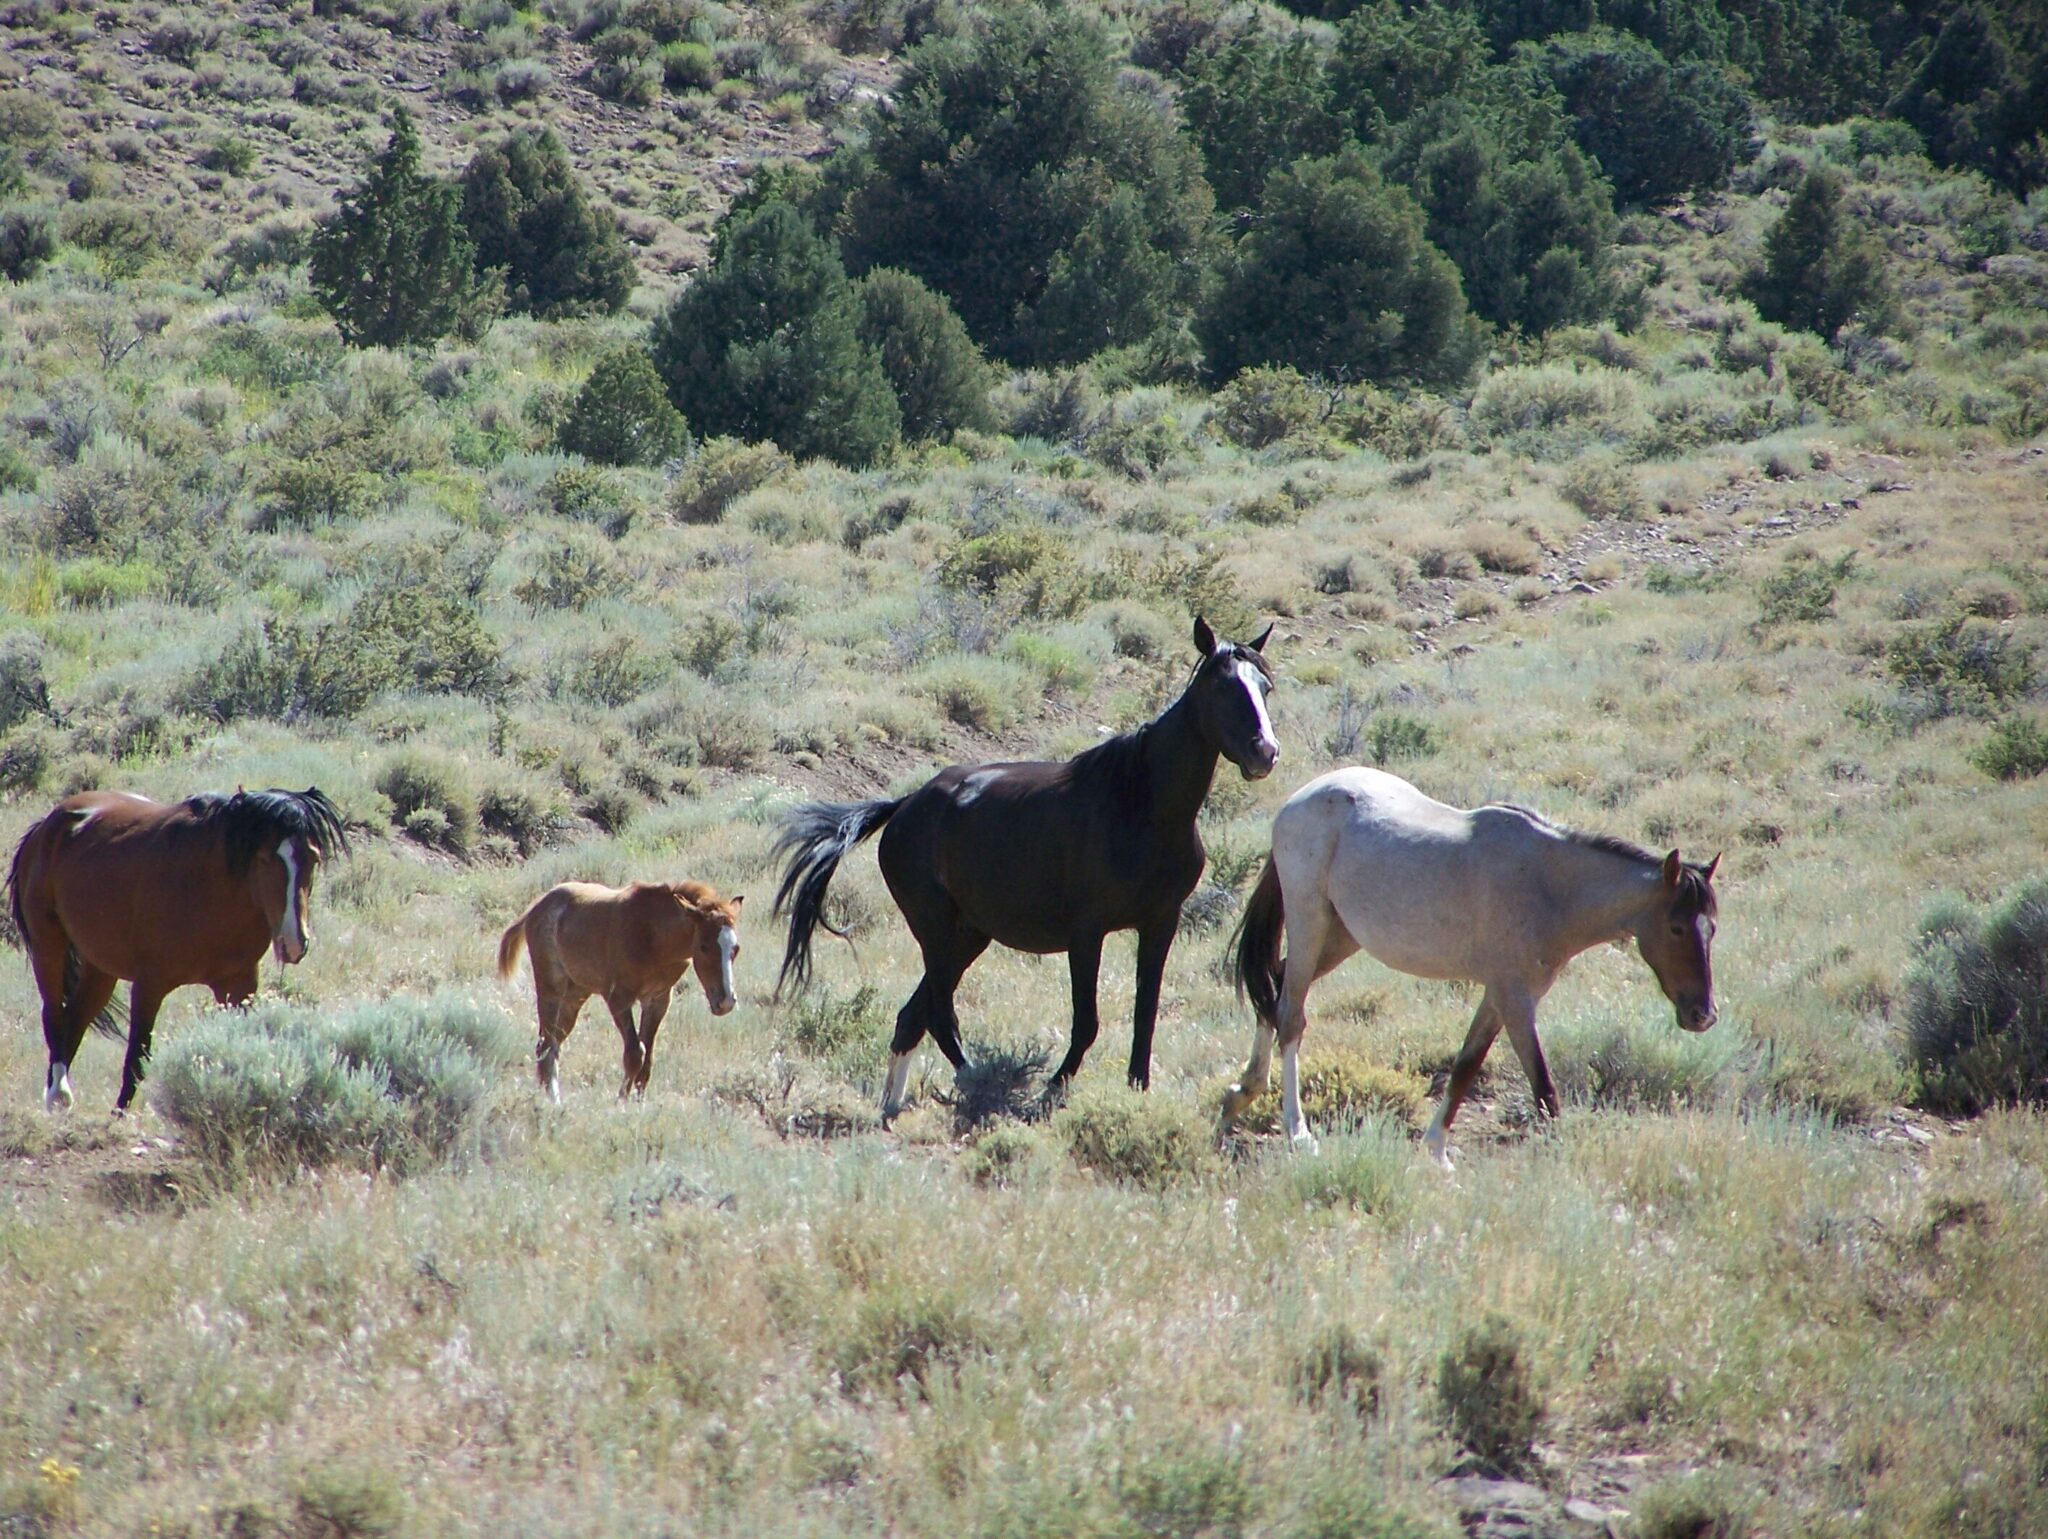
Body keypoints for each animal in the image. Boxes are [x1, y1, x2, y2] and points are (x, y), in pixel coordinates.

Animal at [8, 787, 348, 1112]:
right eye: (264, 858)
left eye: (313, 858)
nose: (294, 942)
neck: (208, 887)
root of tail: (47, 825)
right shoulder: (149, 985)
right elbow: (137, 1058)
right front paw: (120, 1117)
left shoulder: (239, 986)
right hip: (49, 945)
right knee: (54, 1014)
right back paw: (58, 1096)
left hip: (99, 964)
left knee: (77, 1016)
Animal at [497, 879, 744, 1102]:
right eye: (703, 946)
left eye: (735, 948)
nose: (725, 1002)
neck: (651, 936)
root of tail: (535, 908)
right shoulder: (618, 998)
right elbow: (635, 1054)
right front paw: (621, 1103)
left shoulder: (658, 999)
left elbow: (647, 1059)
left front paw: (639, 1104)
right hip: (550, 989)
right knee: (546, 1045)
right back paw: (553, 1101)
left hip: (574, 996)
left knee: (552, 1043)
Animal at [774, 616, 1280, 1119]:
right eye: (1222, 686)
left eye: (1265, 687)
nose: (1265, 753)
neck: (1142, 806)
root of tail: (903, 806)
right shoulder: (1087, 933)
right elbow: (1086, 1022)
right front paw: (1053, 1087)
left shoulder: (1161, 923)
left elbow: (1146, 1014)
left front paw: (1137, 1091)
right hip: (935, 929)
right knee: (938, 1013)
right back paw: (980, 1083)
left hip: (969, 934)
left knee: (912, 1017)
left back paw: (895, 1104)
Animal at [1223, 767, 1719, 1165]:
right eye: (1676, 927)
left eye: (1711, 927)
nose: (1703, 1015)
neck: (1548, 888)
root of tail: (1298, 801)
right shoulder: (1517, 1000)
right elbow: (1544, 1091)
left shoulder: (1498, 997)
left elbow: (1465, 1066)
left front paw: (1437, 1153)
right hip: (1310, 922)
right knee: (1291, 1015)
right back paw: (1296, 1131)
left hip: (1342, 936)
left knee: (1275, 987)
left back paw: (1241, 1095)